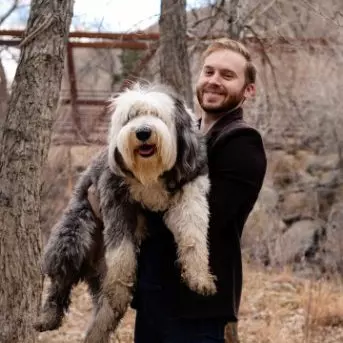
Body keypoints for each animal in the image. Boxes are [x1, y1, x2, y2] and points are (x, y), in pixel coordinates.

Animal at [35, 83, 218, 343]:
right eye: (130, 117)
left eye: (155, 114)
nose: (142, 132)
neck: (149, 172)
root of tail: (91, 264)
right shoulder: (116, 201)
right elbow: (122, 253)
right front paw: (121, 286)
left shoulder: (191, 189)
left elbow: (193, 234)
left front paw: (200, 277)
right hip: (74, 236)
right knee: (60, 279)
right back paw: (48, 316)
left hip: (97, 273)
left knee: (104, 310)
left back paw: (96, 331)